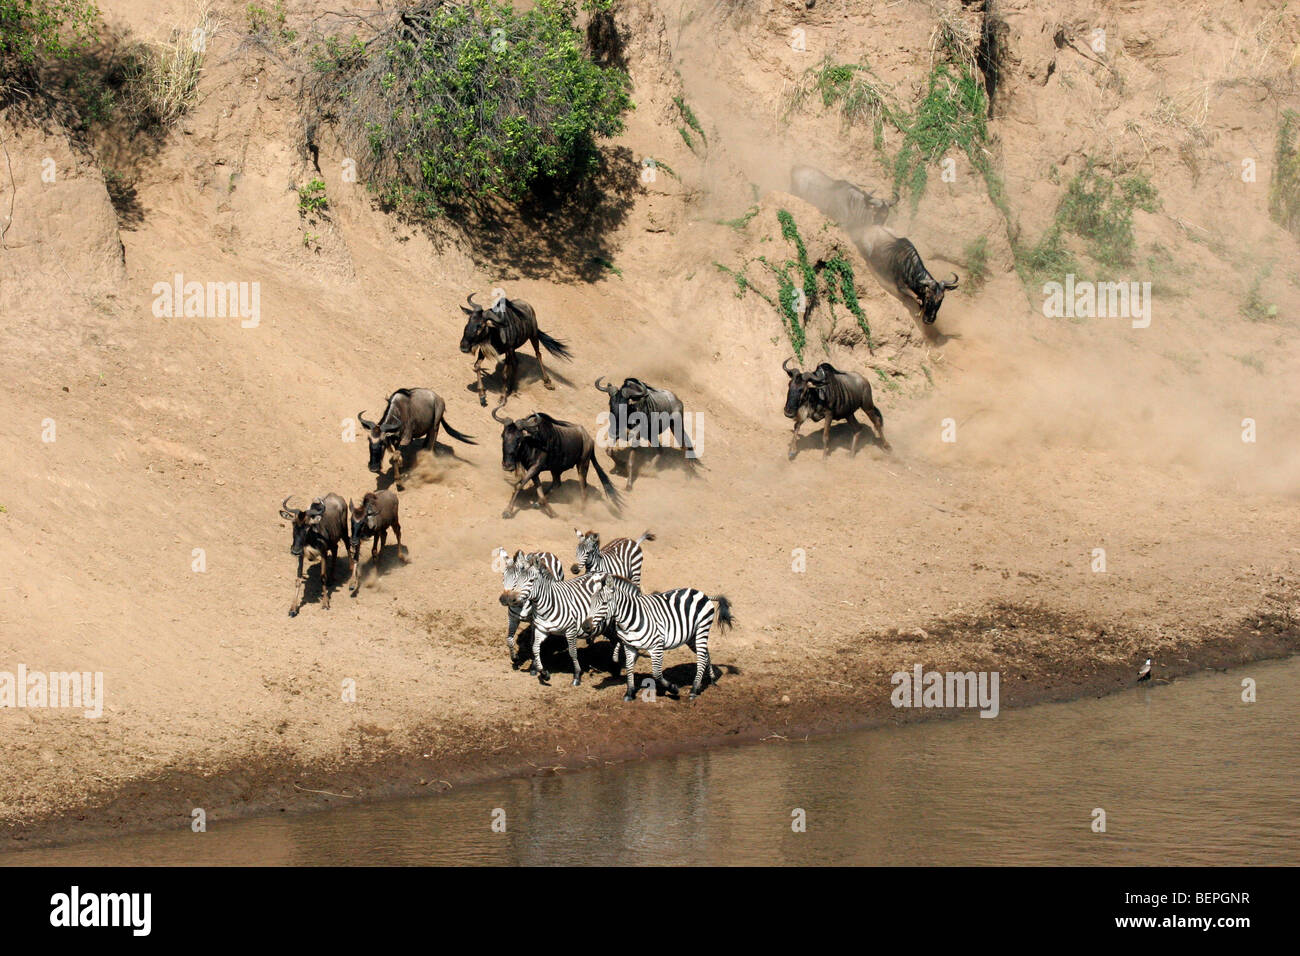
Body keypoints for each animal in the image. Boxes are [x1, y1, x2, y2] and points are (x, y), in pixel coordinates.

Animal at [501, 556, 609, 686]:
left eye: (531, 580)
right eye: (503, 577)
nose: (508, 600)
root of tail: (600, 572)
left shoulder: (568, 630)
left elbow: (572, 652)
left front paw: (577, 675)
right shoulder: (530, 625)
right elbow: (526, 645)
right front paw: (541, 672)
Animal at [581, 574, 732, 701]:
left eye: (604, 603)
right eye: (591, 602)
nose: (585, 626)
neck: (630, 618)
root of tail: (703, 594)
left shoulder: (656, 647)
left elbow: (657, 673)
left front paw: (673, 689)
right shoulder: (630, 646)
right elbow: (629, 668)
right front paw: (629, 693)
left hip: (702, 629)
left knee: (701, 658)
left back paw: (694, 690)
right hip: (691, 636)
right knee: (706, 654)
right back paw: (711, 680)